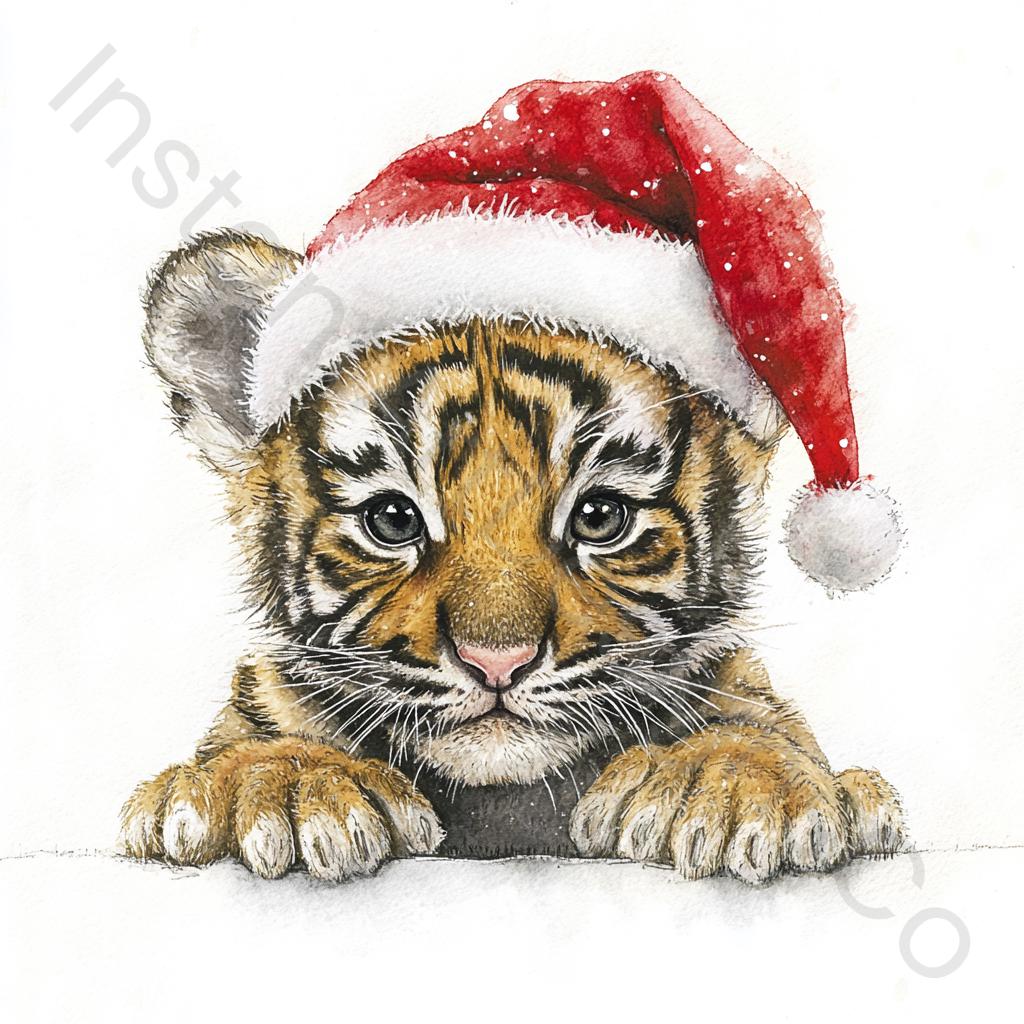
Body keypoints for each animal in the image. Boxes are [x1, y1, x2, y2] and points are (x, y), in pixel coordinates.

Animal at [117, 230, 904, 885]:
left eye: (600, 517)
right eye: (392, 520)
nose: (497, 662)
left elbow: (755, 726)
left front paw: (736, 786)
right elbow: (265, 741)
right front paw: (288, 785)